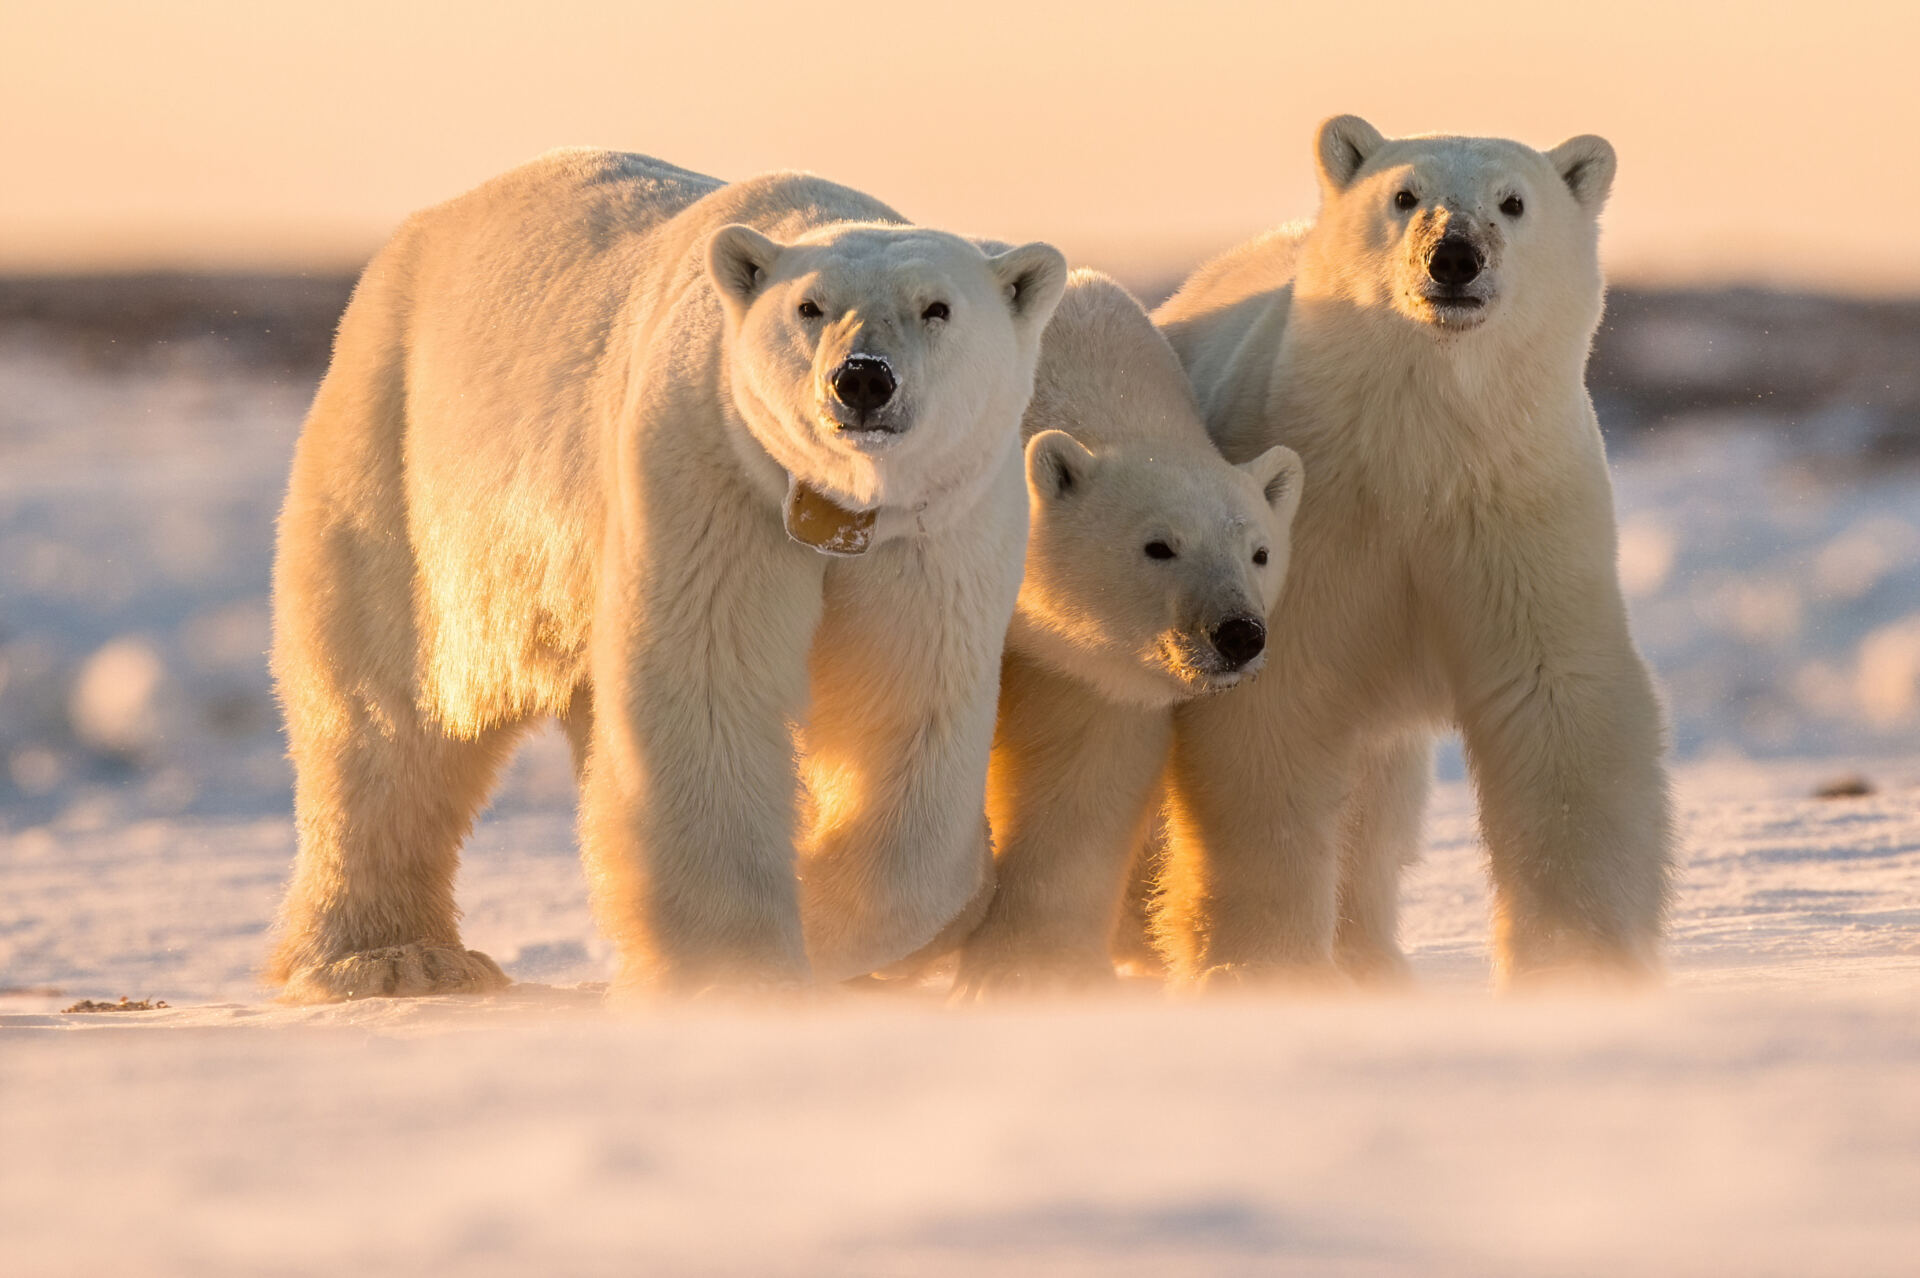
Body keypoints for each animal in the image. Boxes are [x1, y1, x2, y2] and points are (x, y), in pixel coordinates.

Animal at [265, 149, 1066, 1001]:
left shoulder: (932, 534)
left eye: (937, 307)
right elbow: (707, 691)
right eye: (809, 307)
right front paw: (737, 968)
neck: (838, 507)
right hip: (397, 459)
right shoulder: (710, 473)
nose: (862, 379)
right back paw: (392, 959)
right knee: (383, 712)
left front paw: (843, 931)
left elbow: (906, 703)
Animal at [950, 270, 1302, 996]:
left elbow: (1081, 771)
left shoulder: (1086, 664)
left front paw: (1023, 968)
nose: (1238, 634)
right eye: (1158, 545)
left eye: (1259, 552)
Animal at [1151, 116, 1674, 987]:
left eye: (1513, 201)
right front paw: (1259, 964)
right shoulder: (1313, 529)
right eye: (1404, 195)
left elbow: (1556, 706)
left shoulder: (1518, 510)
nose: (1454, 257)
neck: (1420, 448)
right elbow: (1272, 717)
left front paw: (1578, 959)